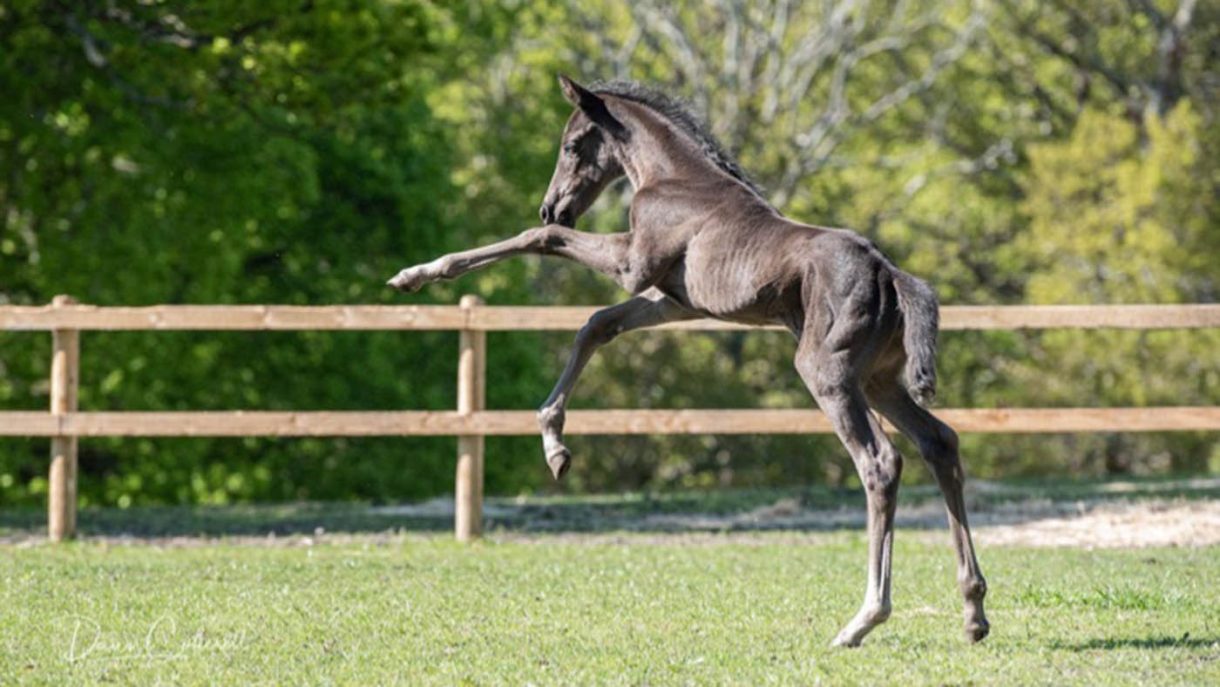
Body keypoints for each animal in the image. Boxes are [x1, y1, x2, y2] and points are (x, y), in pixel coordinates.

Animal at [387, 75, 989, 647]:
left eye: (572, 144)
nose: (552, 203)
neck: (675, 179)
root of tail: (890, 272)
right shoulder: (675, 300)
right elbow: (597, 324)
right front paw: (555, 446)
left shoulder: (632, 264)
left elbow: (545, 239)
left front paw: (418, 272)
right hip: (881, 380)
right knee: (940, 442)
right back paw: (973, 610)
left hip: (830, 374)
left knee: (880, 463)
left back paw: (863, 620)